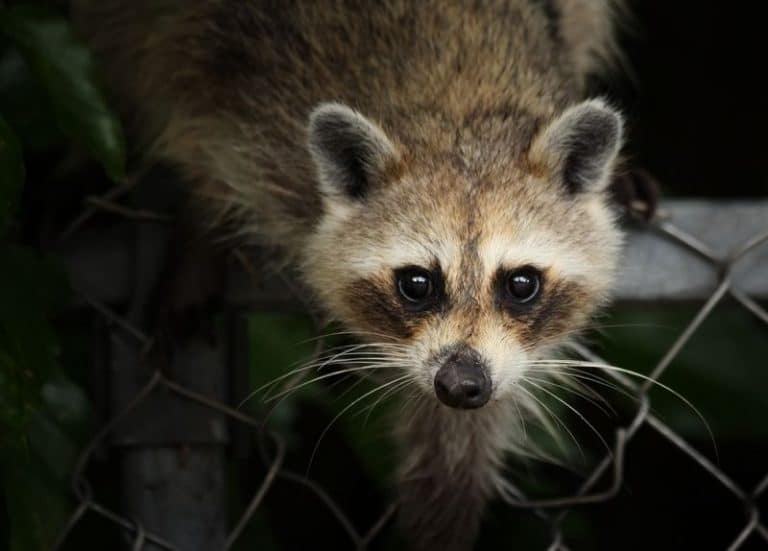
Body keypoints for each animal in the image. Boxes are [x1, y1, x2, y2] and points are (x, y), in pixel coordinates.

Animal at [72, 1, 626, 548]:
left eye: (521, 284)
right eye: (417, 283)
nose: (461, 384)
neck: (460, 107)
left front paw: (446, 489)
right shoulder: (242, 72)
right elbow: (194, 114)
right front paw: (201, 215)